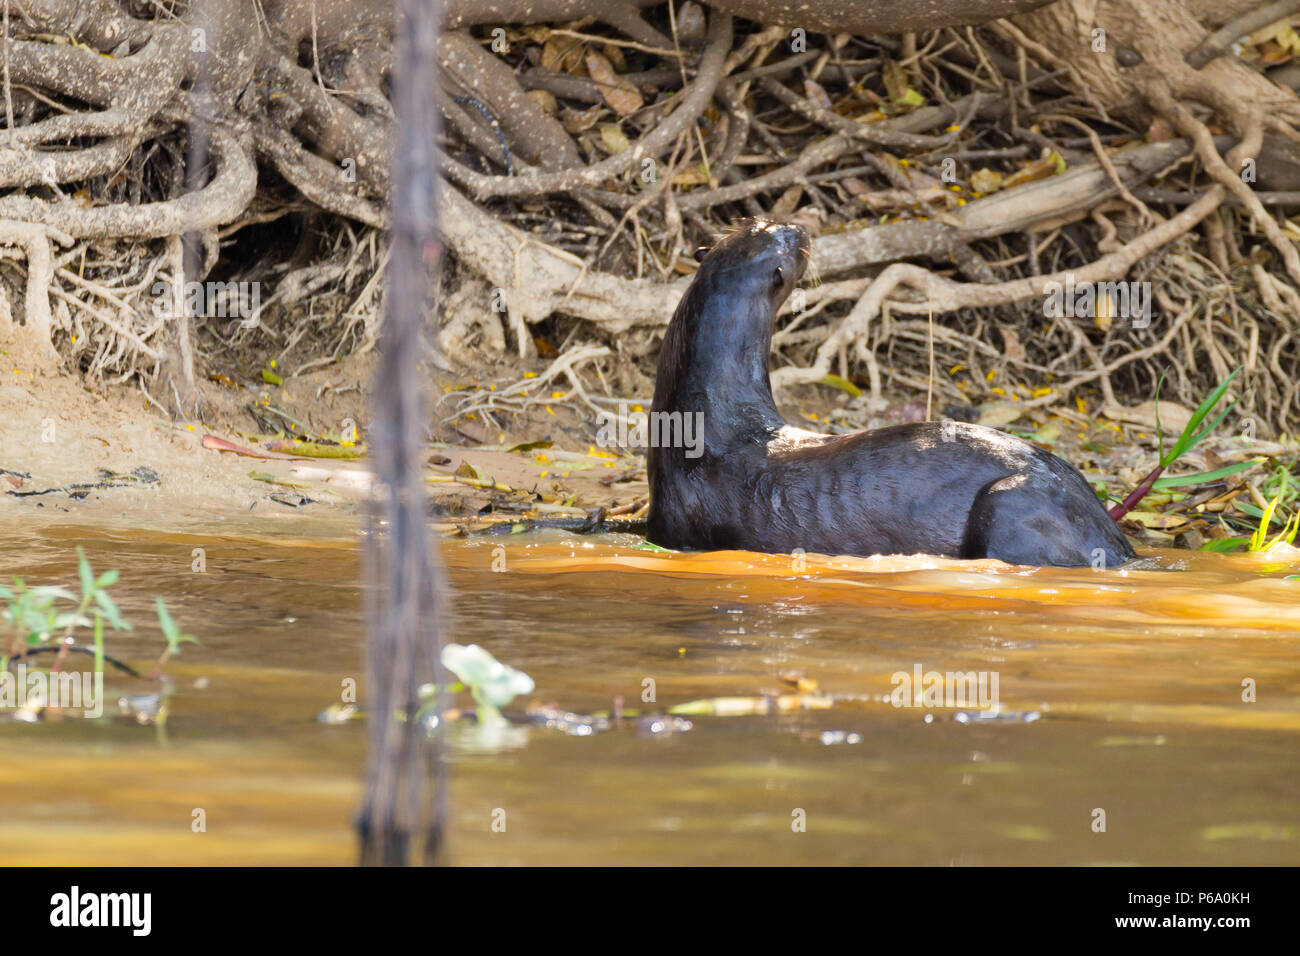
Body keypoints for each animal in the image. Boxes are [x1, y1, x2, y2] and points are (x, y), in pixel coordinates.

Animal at [645, 219, 1135, 568]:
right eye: (757, 224)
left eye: (786, 236)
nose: (799, 226)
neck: (712, 418)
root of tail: (1107, 531)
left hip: (1013, 504)